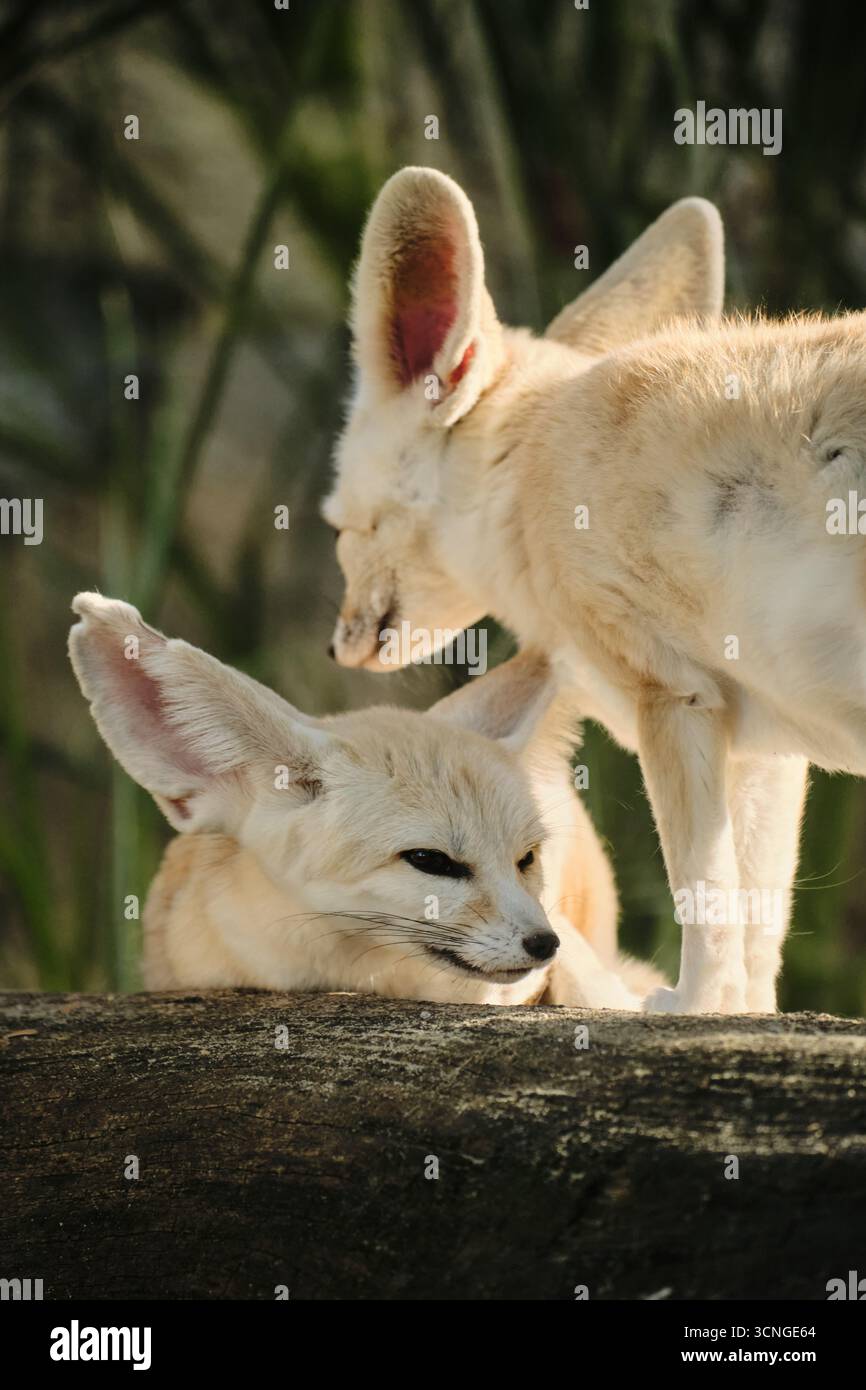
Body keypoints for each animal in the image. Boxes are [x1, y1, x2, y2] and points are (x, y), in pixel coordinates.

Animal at [324, 165, 866, 1016]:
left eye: (344, 527)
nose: (336, 644)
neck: (530, 459)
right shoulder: (767, 748)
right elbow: (756, 925)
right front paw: (740, 1016)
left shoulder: (671, 697)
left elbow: (706, 900)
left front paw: (688, 1007)